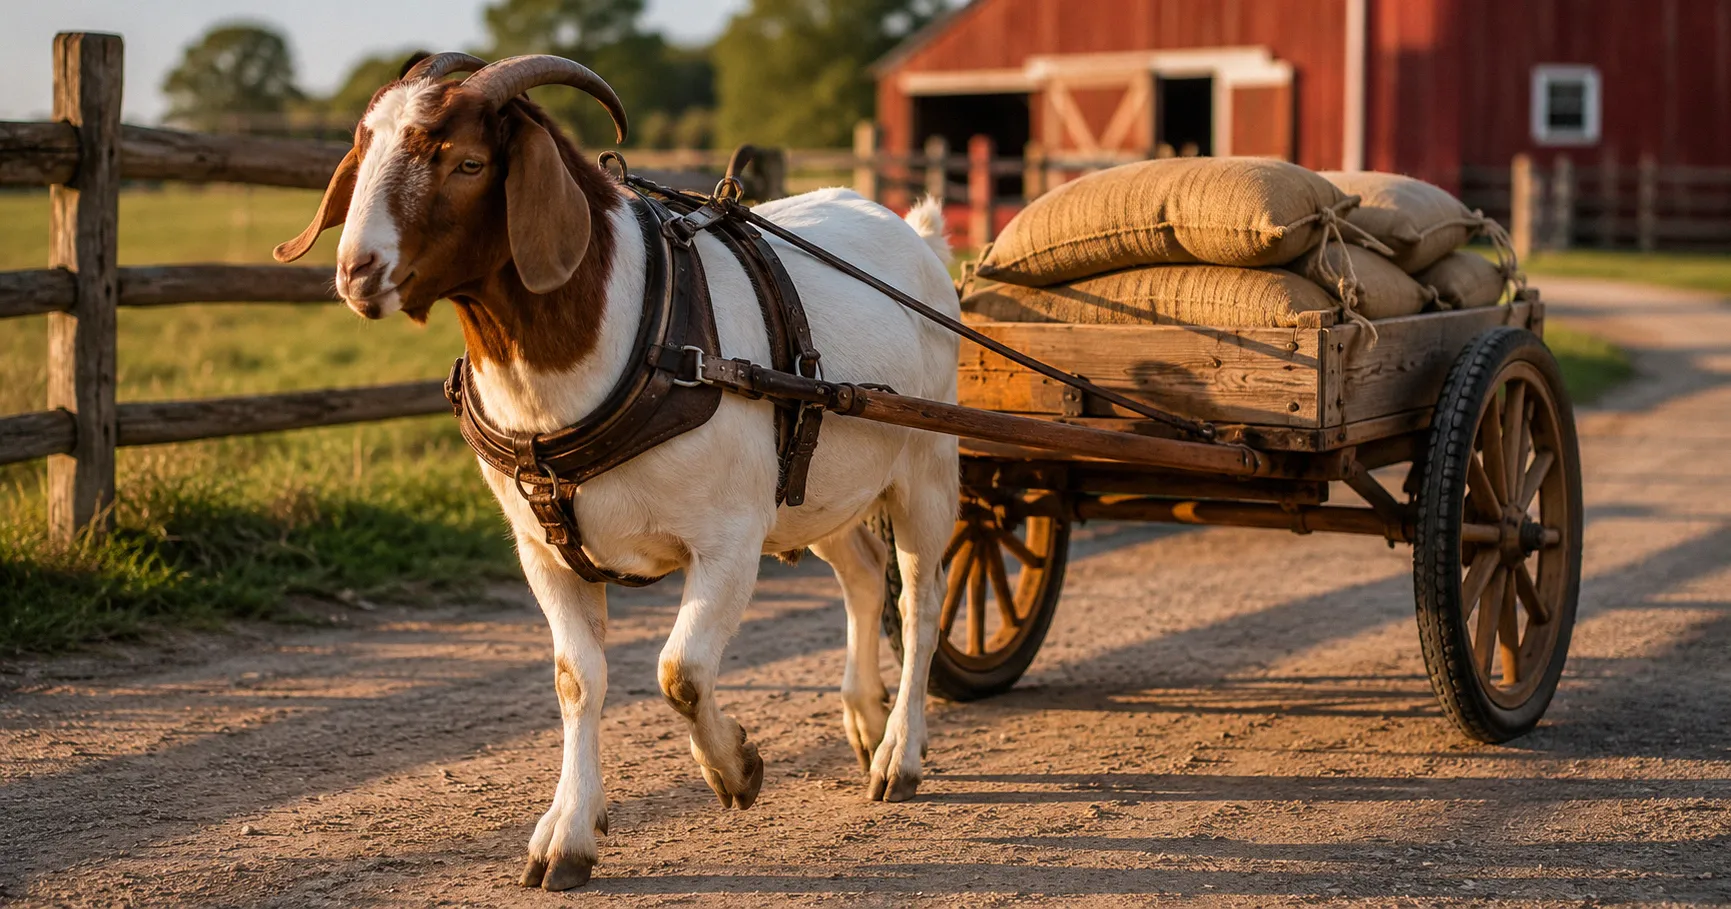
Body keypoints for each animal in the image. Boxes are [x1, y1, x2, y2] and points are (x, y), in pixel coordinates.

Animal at [276, 53, 960, 890]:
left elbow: (680, 671)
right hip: (817, 484)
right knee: (862, 575)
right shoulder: (543, 550)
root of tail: (917, 236)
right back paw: (863, 717)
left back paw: (898, 753)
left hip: (927, 466)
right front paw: (567, 834)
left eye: (467, 162)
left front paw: (734, 768)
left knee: (920, 601)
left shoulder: (729, 537)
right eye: (364, 149)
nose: (357, 271)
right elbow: (578, 679)